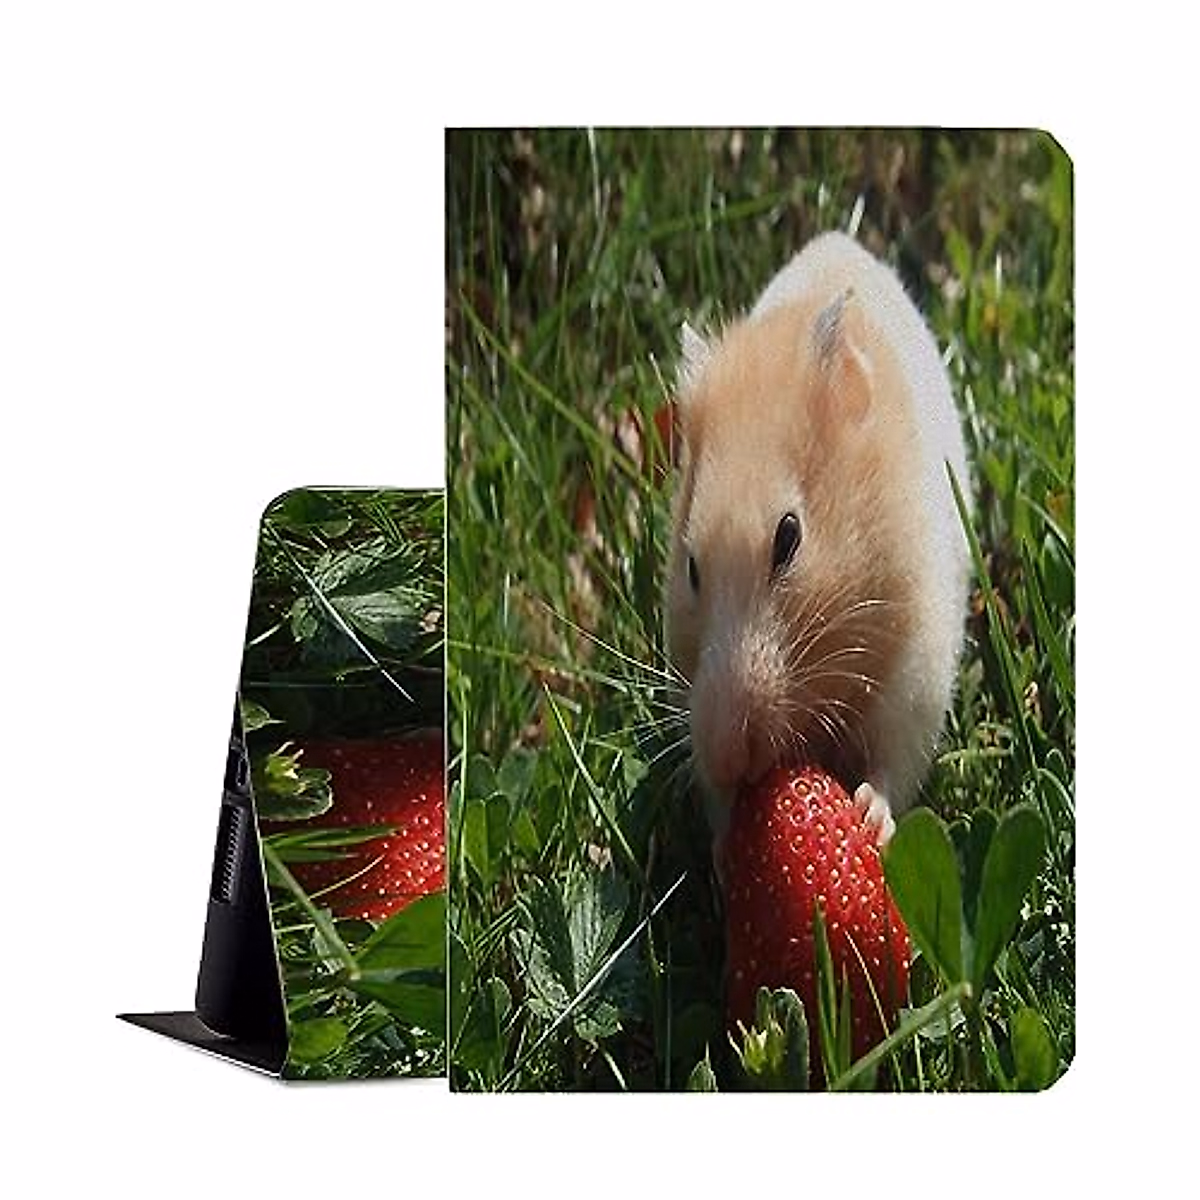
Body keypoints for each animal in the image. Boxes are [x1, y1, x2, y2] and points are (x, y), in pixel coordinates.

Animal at [665, 231, 971, 850]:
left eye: (789, 538)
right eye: (691, 567)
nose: (729, 754)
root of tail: (839, 240)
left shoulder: (914, 682)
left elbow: (892, 768)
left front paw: (869, 818)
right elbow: (719, 807)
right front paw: (727, 842)